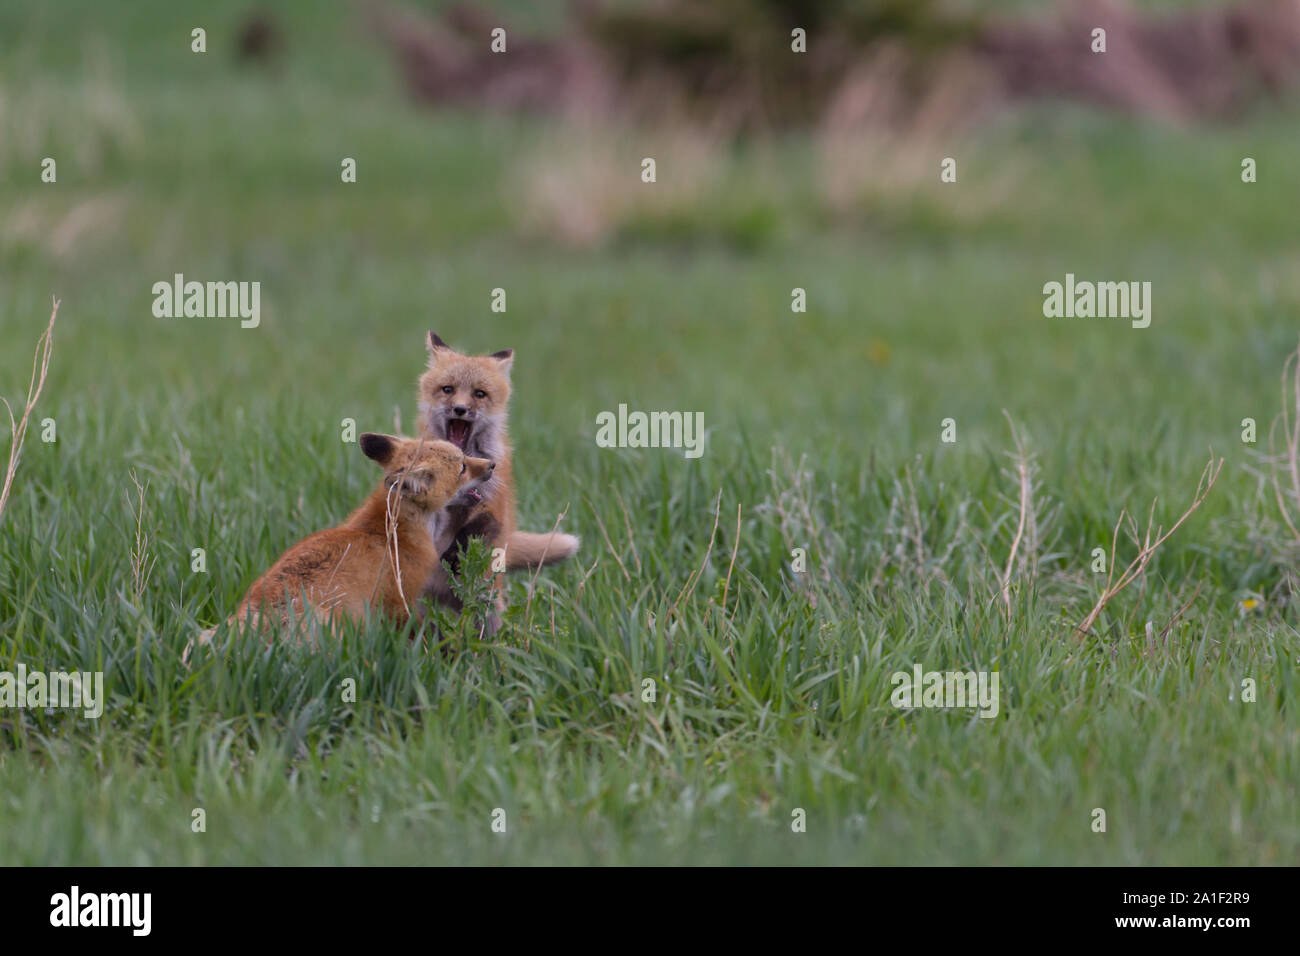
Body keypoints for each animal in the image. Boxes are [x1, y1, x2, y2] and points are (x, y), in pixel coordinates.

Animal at [187, 434, 494, 657]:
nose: (491, 464)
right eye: (463, 467)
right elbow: (424, 634)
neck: (392, 532)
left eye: (465, 456)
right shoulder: (399, 601)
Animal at [417, 332, 579, 618]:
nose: (460, 409)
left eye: (479, 394)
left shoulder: (491, 507)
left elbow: (474, 531)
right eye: (448, 389)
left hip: (486, 602)